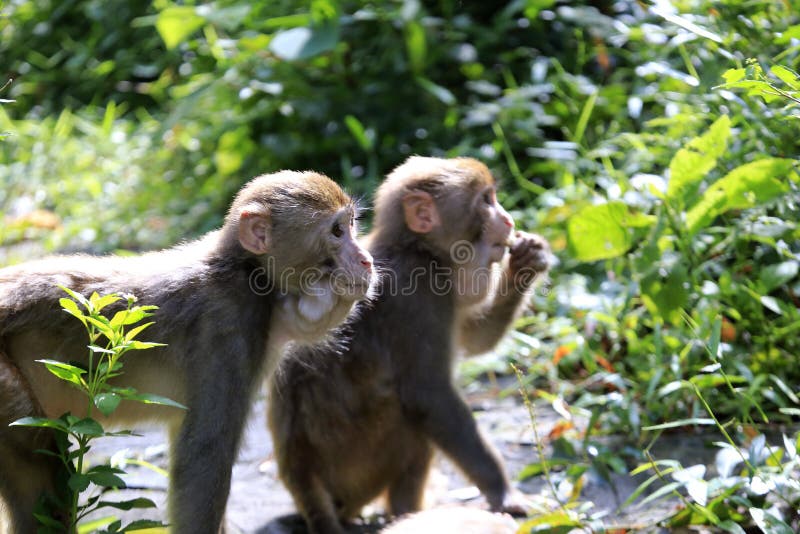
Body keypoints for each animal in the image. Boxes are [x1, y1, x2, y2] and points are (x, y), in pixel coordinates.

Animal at [0, 170, 376, 534]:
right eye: (337, 231)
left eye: (352, 224)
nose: (366, 260)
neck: (251, 276)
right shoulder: (229, 328)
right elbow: (202, 462)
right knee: (41, 465)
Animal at [267, 156, 551, 534]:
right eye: (486, 201)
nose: (507, 219)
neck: (420, 250)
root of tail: (302, 478)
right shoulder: (418, 296)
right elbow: (429, 395)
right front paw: (503, 493)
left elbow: (474, 340)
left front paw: (526, 262)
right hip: (355, 465)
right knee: (408, 416)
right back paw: (407, 513)